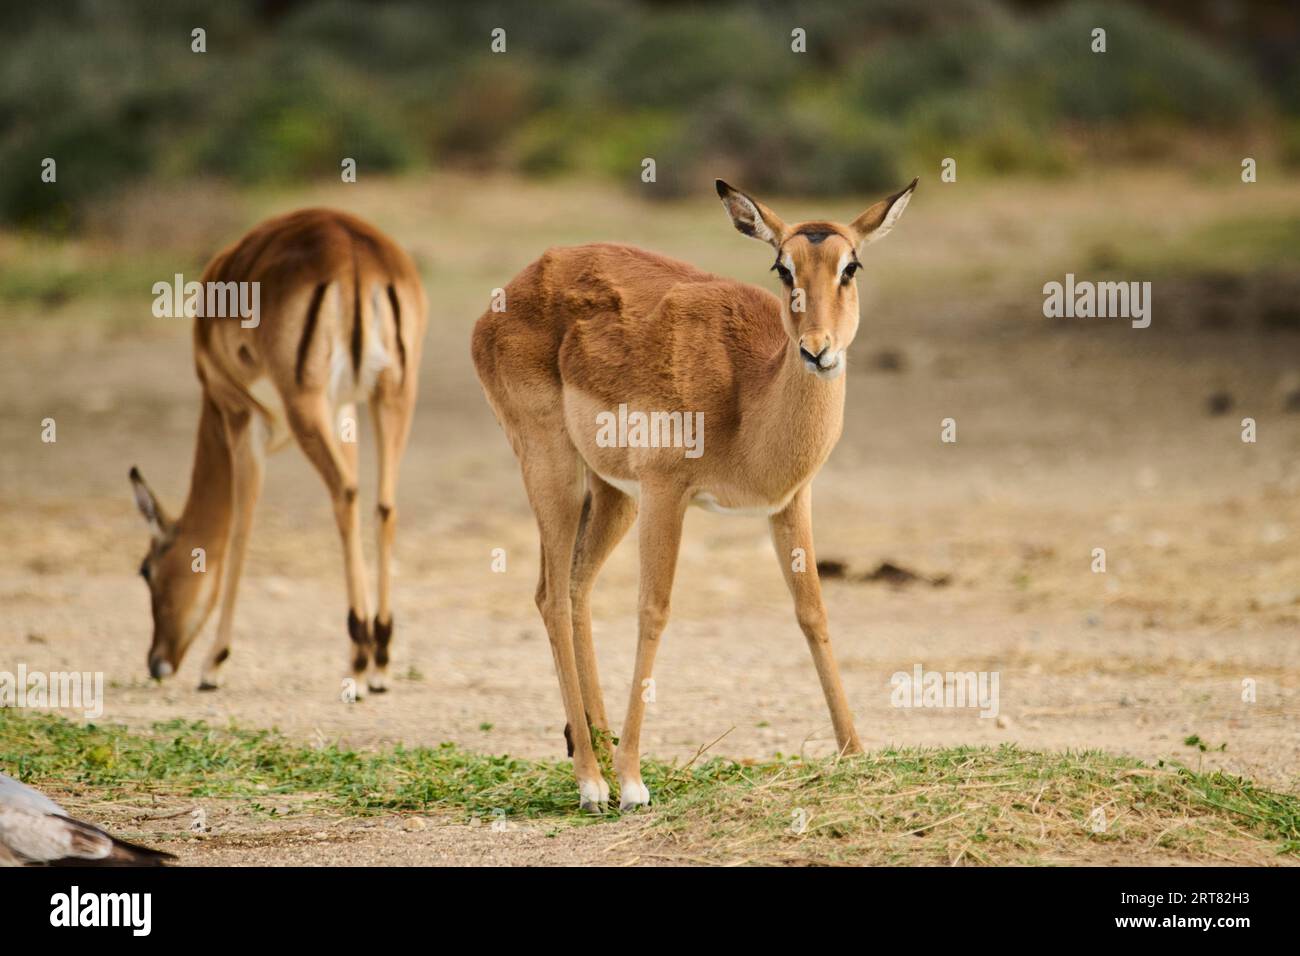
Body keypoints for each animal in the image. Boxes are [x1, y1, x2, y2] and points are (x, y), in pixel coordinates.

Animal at [130, 210, 427, 694]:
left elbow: (241, 529)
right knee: (382, 505)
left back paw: (360, 660)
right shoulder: (343, 409)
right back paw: (379, 659)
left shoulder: (239, 418)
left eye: (146, 570)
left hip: (306, 404)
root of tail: (354, 249)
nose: (157, 662)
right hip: (394, 394)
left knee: (344, 493)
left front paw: (214, 664)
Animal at [472, 177, 917, 810]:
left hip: (612, 493)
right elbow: (653, 610)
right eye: (783, 267)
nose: (817, 350)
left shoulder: (789, 502)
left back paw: (597, 750)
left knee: (577, 588)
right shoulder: (668, 491)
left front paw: (854, 753)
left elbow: (812, 611)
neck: (748, 397)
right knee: (551, 596)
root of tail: (514, 287)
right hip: (552, 466)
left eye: (850, 266)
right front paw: (634, 782)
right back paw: (593, 780)